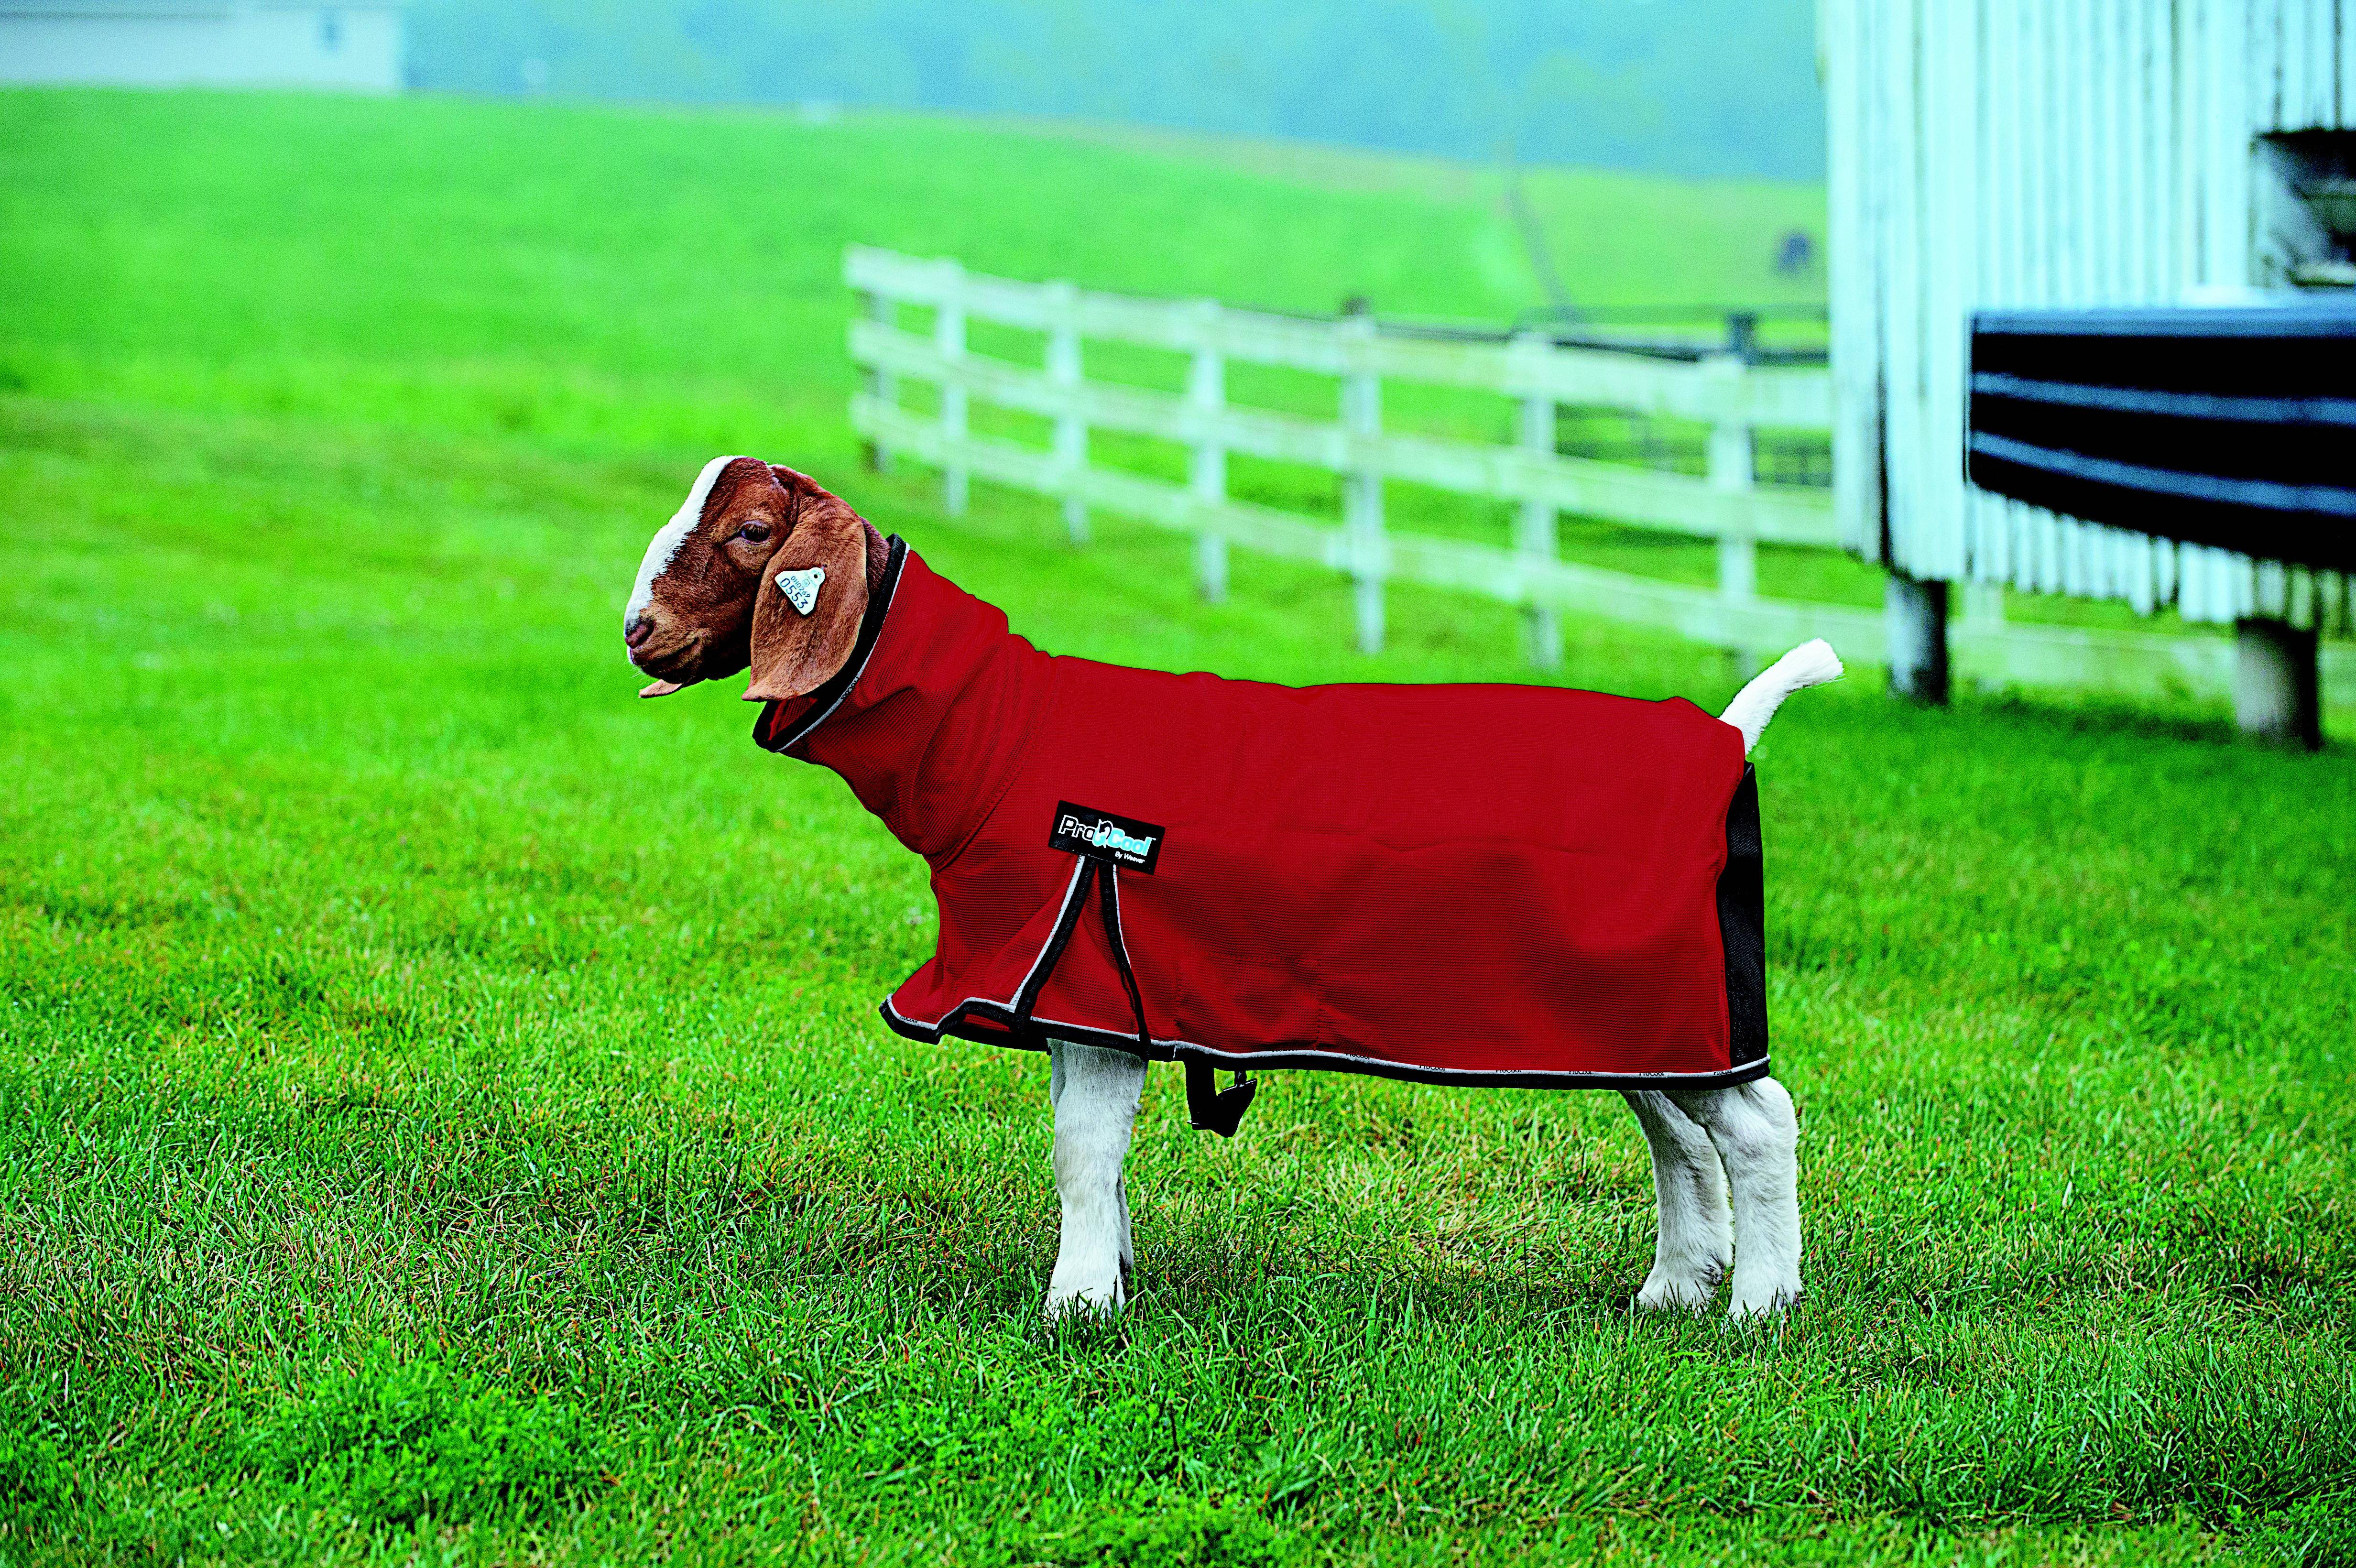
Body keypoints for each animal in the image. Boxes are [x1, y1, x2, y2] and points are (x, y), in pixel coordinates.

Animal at [626, 456, 1841, 1320]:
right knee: (1680, 1130)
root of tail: (1726, 731)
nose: (638, 630)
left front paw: (1076, 1307)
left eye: (750, 533)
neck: (1001, 734)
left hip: (1673, 991)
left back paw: (1760, 1303)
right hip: (1640, 1005)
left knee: (1759, 1122)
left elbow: (1083, 1148)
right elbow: (1091, 1147)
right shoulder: (1070, 991)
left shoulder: (1086, 963)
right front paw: (1111, 1274)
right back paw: (1675, 1287)